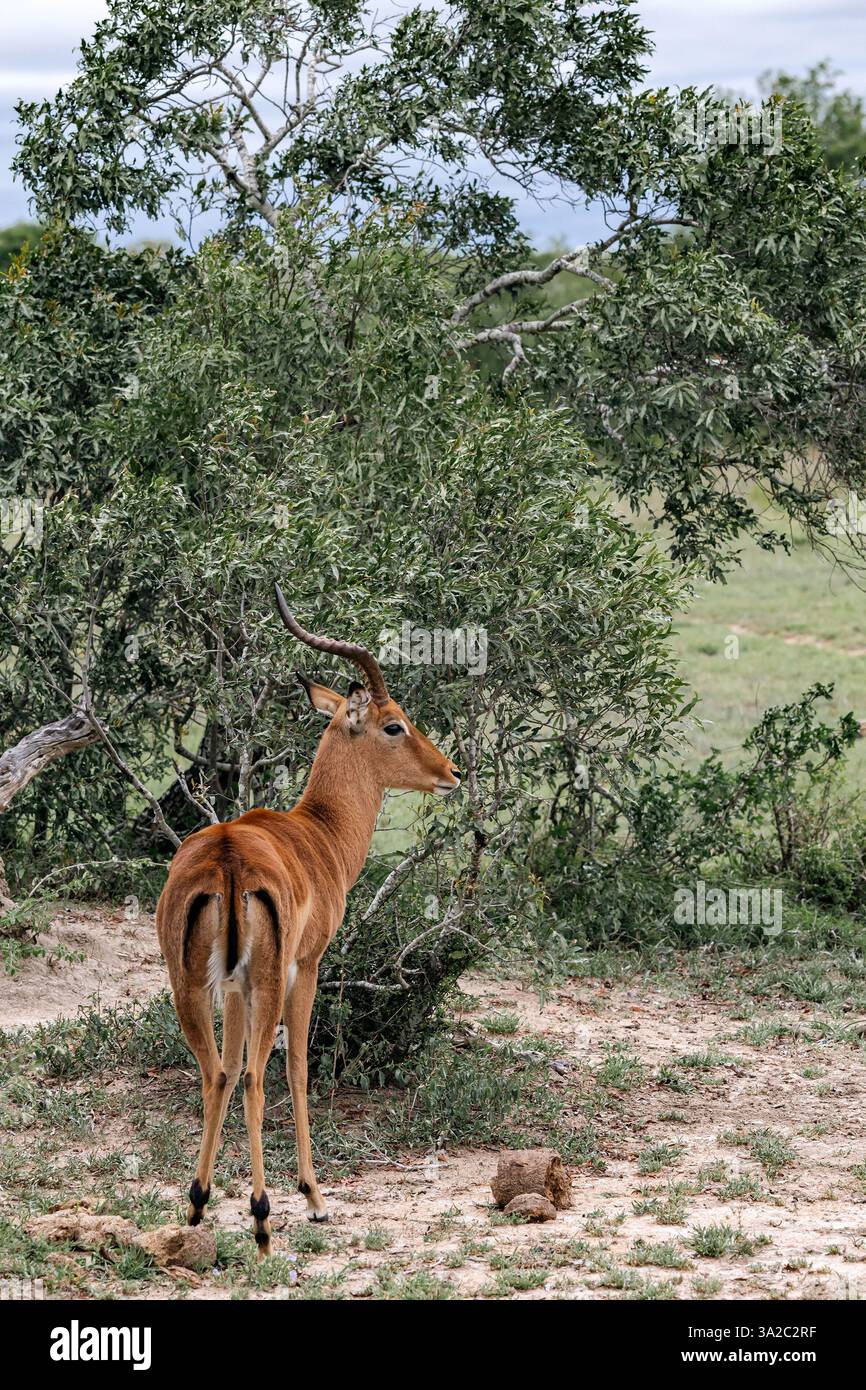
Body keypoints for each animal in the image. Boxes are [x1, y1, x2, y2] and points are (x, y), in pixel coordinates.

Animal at [156, 586, 461, 1254]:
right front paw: (314, 1197)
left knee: (216, 1073)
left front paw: (209, 1197)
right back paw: (264, 1219)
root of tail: (227, 860)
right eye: (394, 723)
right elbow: (296, 1069)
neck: (318, 832)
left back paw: (195, 1207)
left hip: (189, 985)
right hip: (269, 981)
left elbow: (231, 1068)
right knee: (253, 1078)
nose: (452, 772)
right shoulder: (309, 966)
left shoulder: (234, 989)